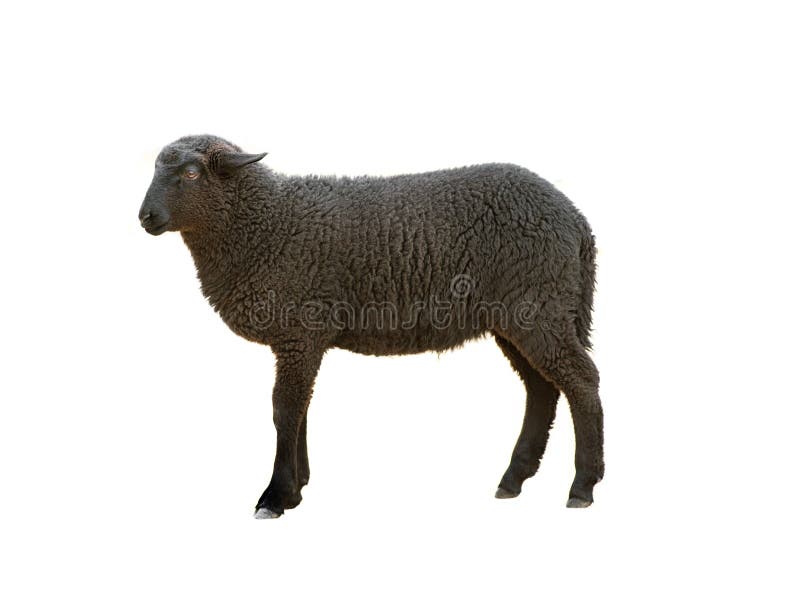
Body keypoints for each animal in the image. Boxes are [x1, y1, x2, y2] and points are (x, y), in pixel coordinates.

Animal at [138, 134, 604, 518]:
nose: (145, 217)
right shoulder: (303, 338)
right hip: (519, 316)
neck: (268, 225)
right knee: (542, 388)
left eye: (192, 172)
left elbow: (284, 409)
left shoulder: (300, 330)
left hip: (539, 305)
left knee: (581, 381)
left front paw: (276, 495)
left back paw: (582, 485)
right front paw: (299, 487)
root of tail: (578, 221)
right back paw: (514, 478)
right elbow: (301, 407)